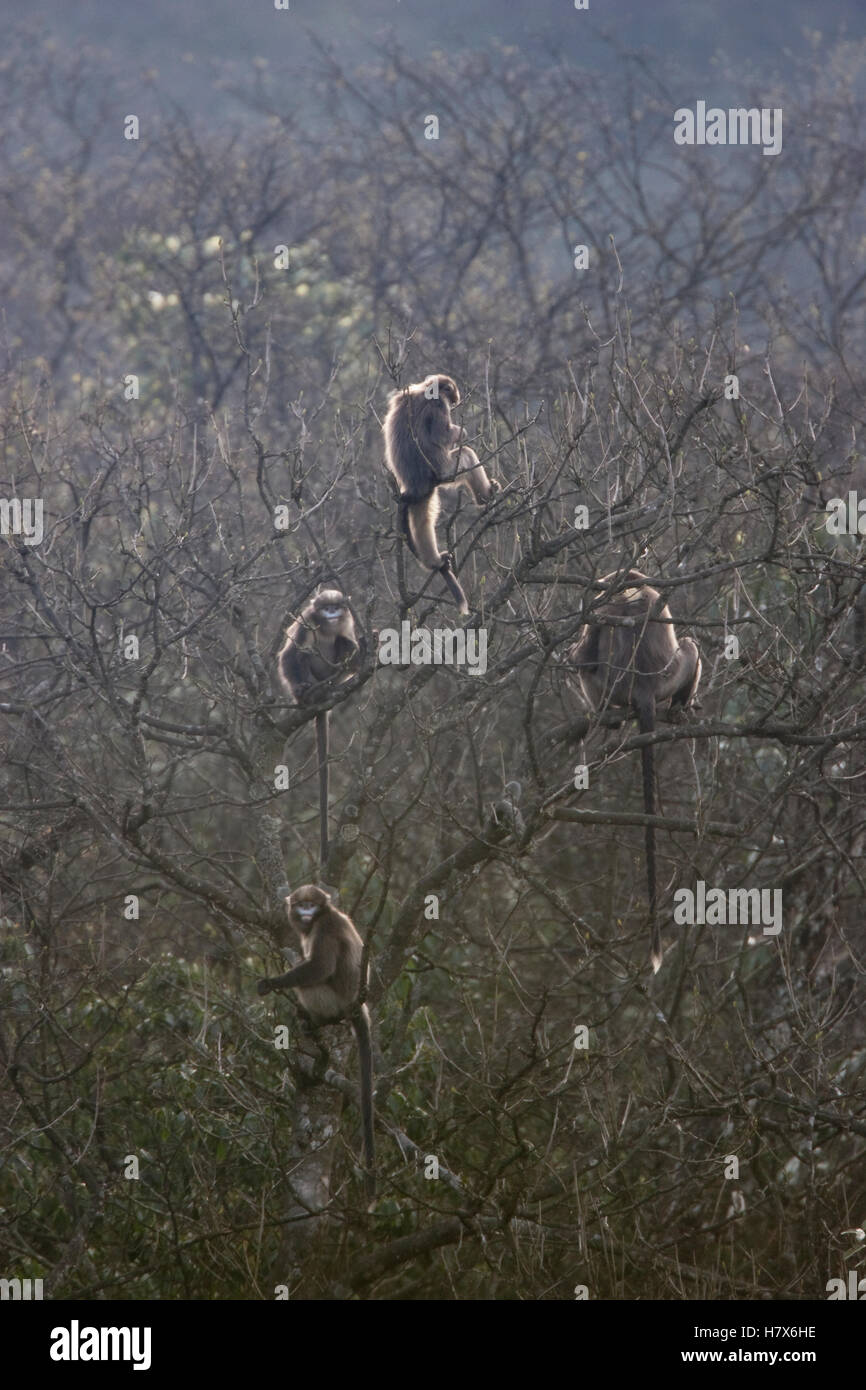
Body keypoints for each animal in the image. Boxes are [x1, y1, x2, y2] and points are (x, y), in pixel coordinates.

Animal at [257, 885, 376, 1199]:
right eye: (302, 904)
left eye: (312, 904)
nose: (307, 912)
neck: (320, 918)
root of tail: (356, 1005)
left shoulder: (326, 927)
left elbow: (320, 967)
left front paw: (272, 982)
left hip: (331, 1000)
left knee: (309, 981)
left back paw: (313, 1019)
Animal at [278, 590, 362, 869]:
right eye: (326, 608)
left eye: (336, 606)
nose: (333, 612)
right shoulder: (306, 621)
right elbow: (289, 654)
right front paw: (299, 691)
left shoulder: (348, 623)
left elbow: (349, 641)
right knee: (301, 654)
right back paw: (310, 692)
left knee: (344, 644)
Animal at [383, 374, 499, 614]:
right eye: (451, 395)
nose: (456, 400)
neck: (424, 390)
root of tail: (414, 486)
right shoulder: (438, 405)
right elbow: (441, 435)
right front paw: (460, 432)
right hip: (446, 470)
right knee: (466, 454)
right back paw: (485, 496)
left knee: (422, 522)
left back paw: (434, 562)